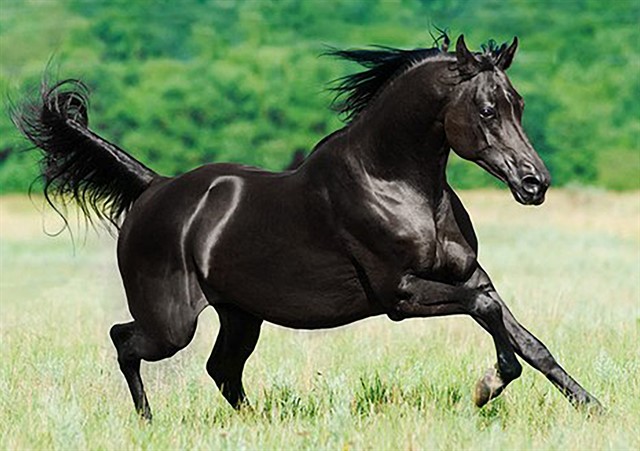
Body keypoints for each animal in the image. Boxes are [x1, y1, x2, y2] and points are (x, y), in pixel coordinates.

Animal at [12, 34, 602, 420]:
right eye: (486, 110)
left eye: (517, 104)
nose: (535, 183)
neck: (394, 181)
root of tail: (153, 188)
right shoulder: (401, 295)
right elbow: (488, 315)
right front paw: (486, 387)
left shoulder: (470, 276)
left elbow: (525, 337)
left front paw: (590, 404)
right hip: (171, 322)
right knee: (125, 340)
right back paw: (147, 420)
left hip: (240, 315)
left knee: (221, 370)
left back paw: (256, 424)